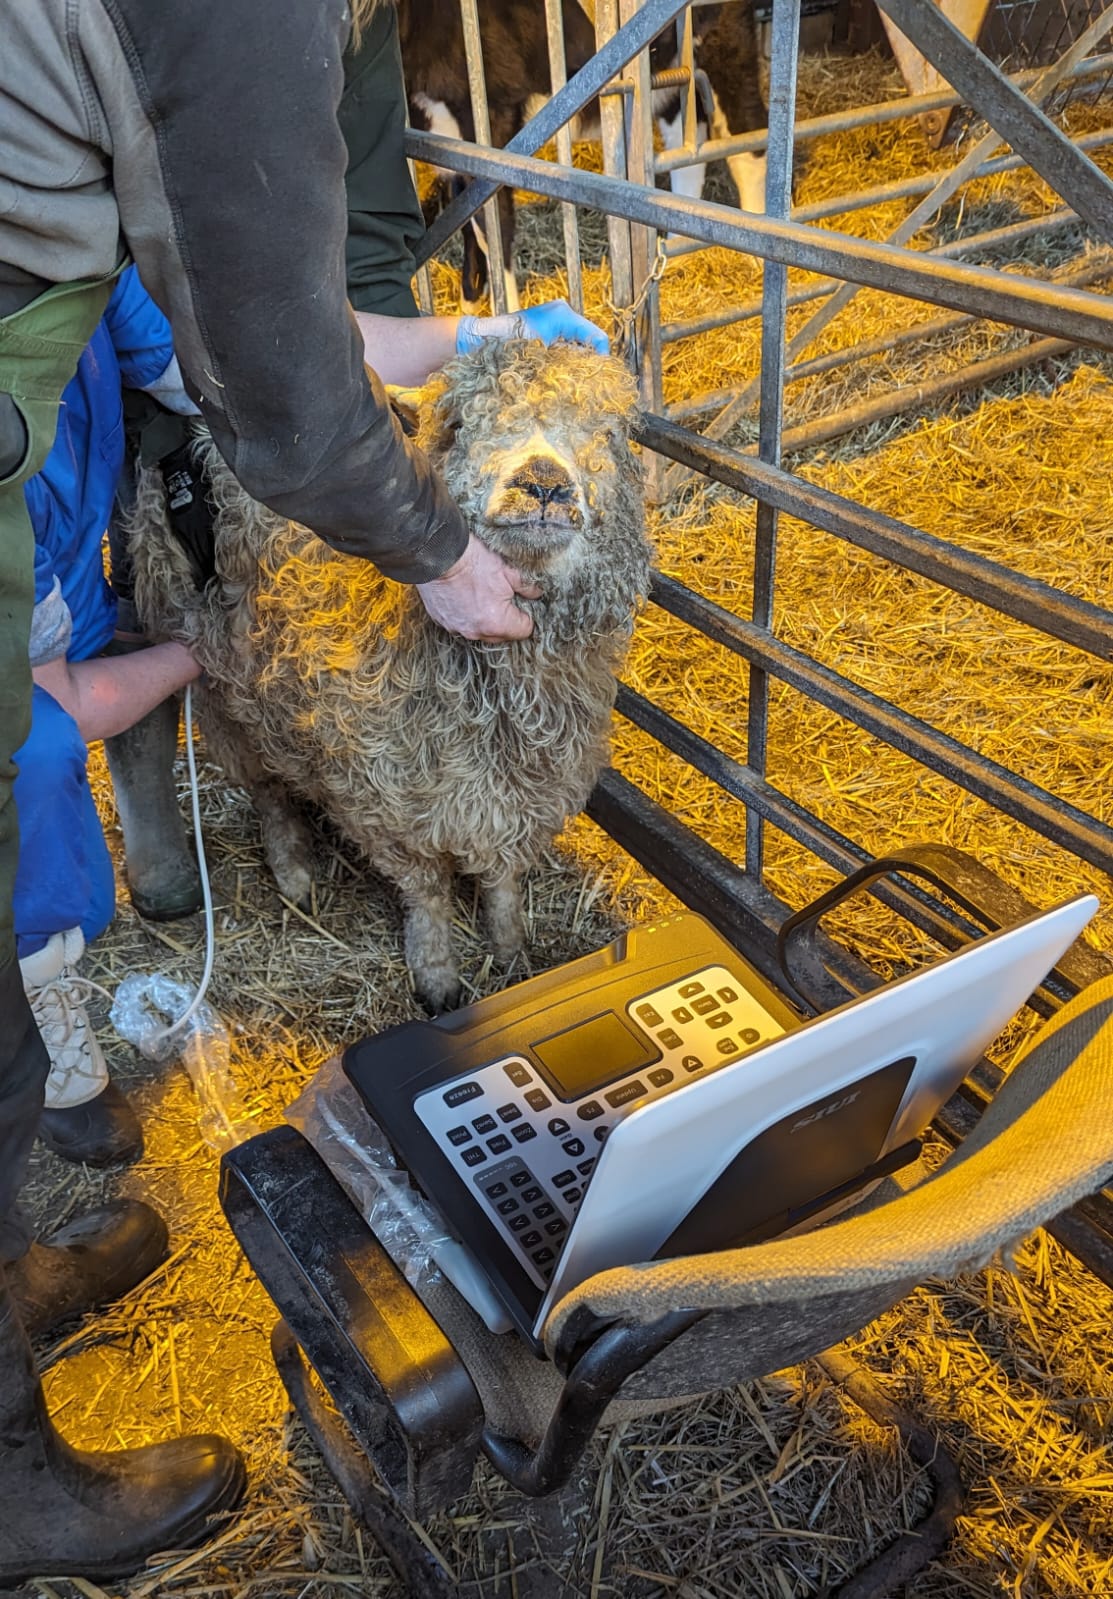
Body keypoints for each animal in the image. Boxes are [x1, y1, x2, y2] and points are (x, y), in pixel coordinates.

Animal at [128, 339, 652, 1013]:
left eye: (607, 434)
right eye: (454, 428)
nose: (544, 482)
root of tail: (199, 427)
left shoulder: (519, 788)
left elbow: (502, 876)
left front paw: (511, 949)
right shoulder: (385, 797)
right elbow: (426, 891)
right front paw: (437, 978)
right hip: (217, 683)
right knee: (267, 788)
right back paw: (294, 872)